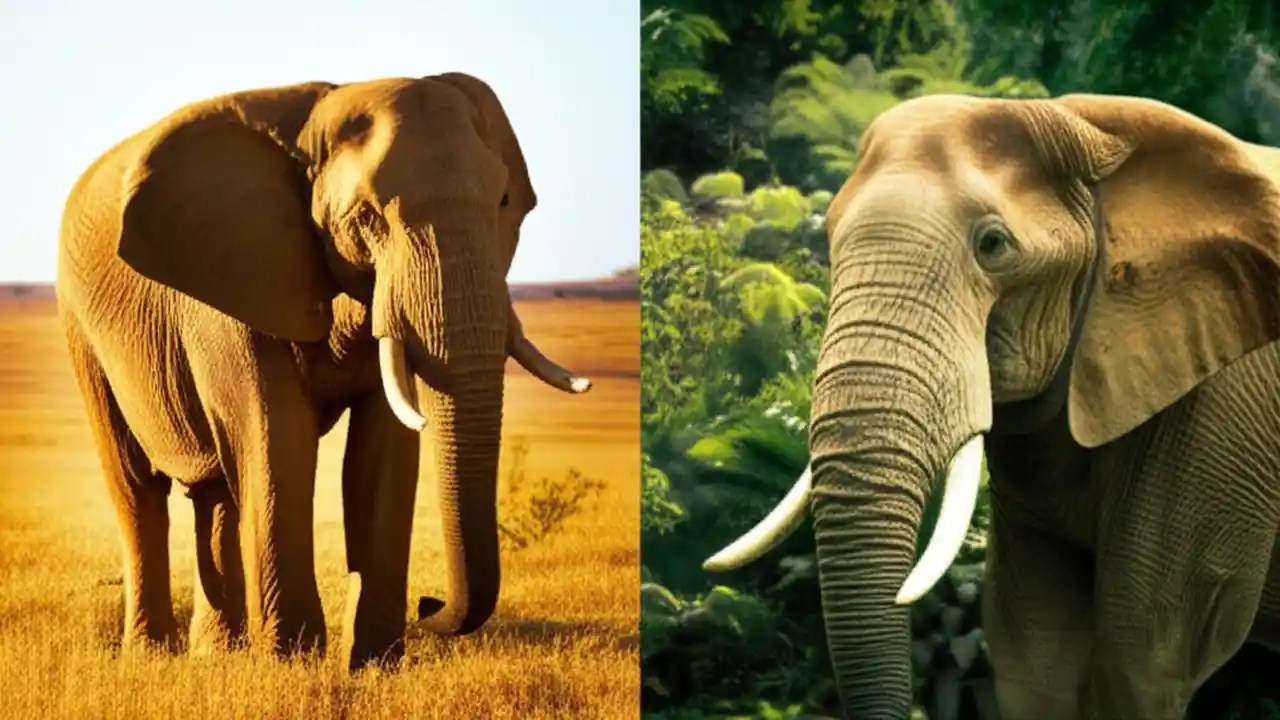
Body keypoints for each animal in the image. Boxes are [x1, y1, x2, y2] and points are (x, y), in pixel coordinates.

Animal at [55, 74, 591, 670]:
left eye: (502, 203)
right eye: (367, 217)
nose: (429, 605)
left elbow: (384, 446)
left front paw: (375, 665)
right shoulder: (233, 276)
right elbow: (276, 435)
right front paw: (291, 663)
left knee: (214, 492)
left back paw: (216, 656)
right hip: (82, 326)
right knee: (137, 488)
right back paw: (153, 655)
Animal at [704, 94, 1280, 719]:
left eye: (993, 246)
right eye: (830, 235)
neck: (1094, 135)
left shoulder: (1216, 417)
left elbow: (1146, 661)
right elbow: (1034, 650)